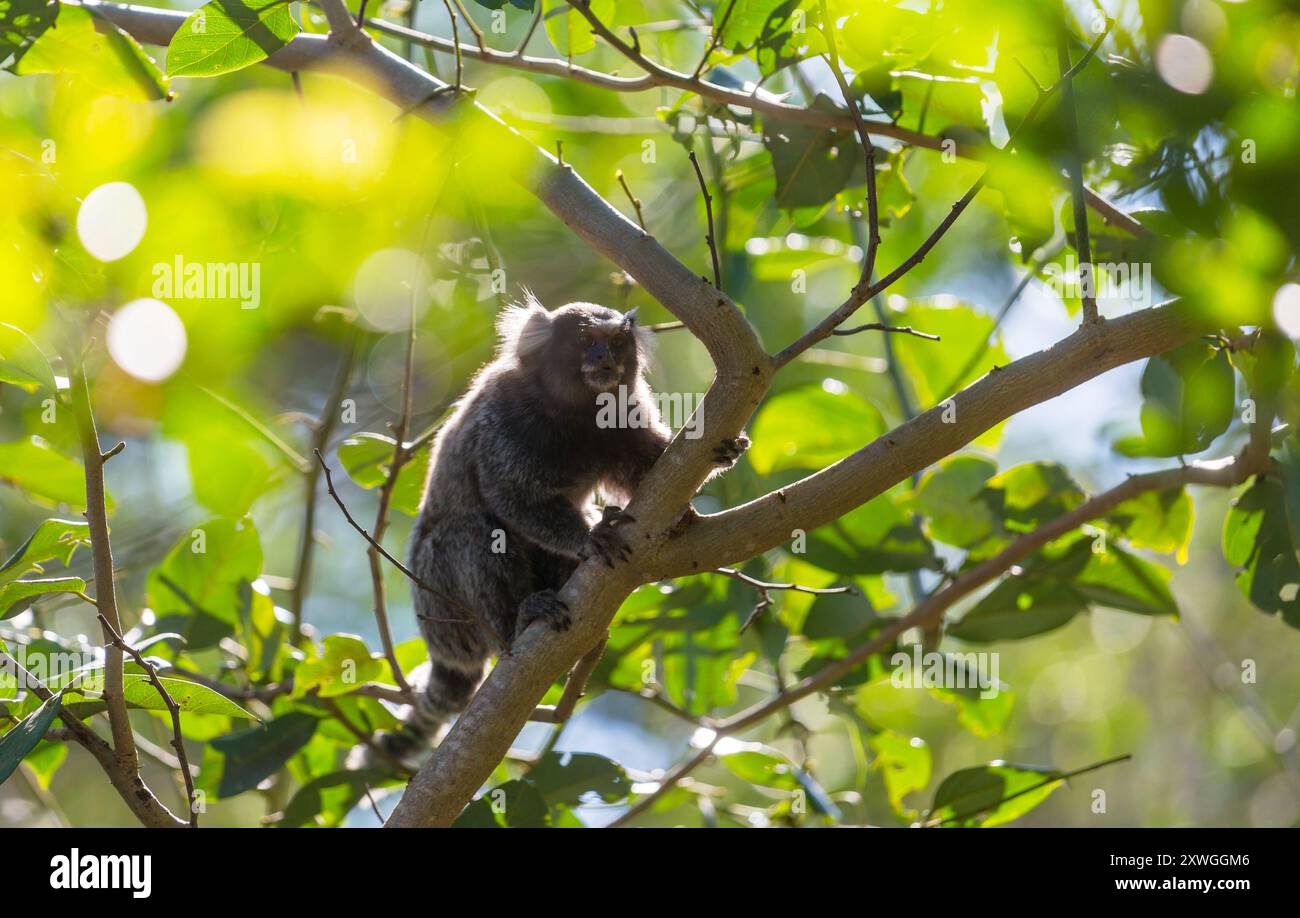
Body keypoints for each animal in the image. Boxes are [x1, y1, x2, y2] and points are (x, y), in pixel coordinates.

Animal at [369, 293, 748, 765]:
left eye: (617, 343)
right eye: (587, 340)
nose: (606, 359)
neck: (576, 412)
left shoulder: (625, 413)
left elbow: (649, 470)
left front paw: (717, 456)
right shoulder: (505, 419)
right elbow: (509, 495)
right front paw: (590, 536)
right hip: (439, 601)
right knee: (469, 532)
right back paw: (517, 620)